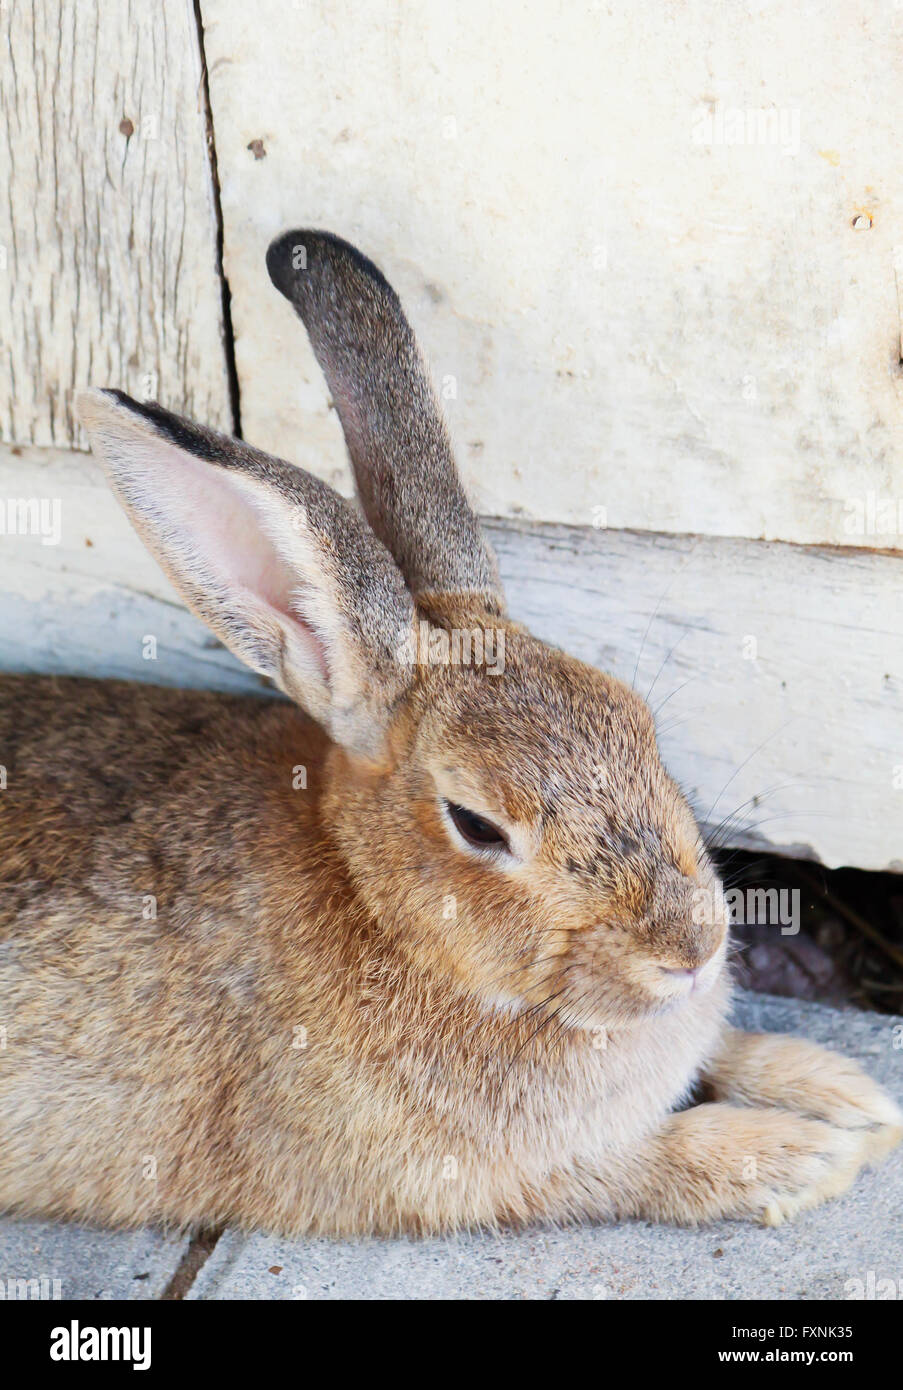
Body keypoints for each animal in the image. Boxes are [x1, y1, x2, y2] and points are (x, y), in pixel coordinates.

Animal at [0, 230, 899, 1239]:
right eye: (475, 824)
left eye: (638, 722)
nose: (691, 952)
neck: (378, 908)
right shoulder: (468, 1180)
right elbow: (635, 1165)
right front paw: (798, 1153)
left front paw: (840, 1091)